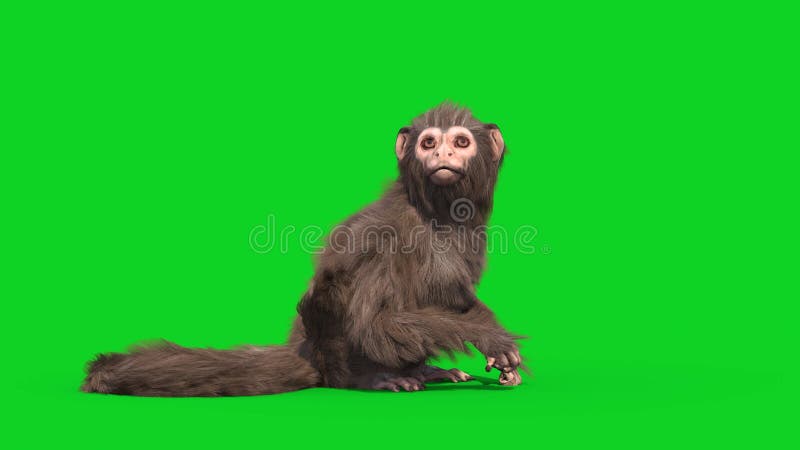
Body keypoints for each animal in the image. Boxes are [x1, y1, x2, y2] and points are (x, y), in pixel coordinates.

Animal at [81, 102, 525, 396]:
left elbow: (457, 297)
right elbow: (372, 318)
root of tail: (306, 352)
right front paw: (491, 338)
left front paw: (491, 337)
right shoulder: (387, 229)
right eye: (429, 143)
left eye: (461, 141)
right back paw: (372, 378)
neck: (435, 213)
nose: (443, 154)